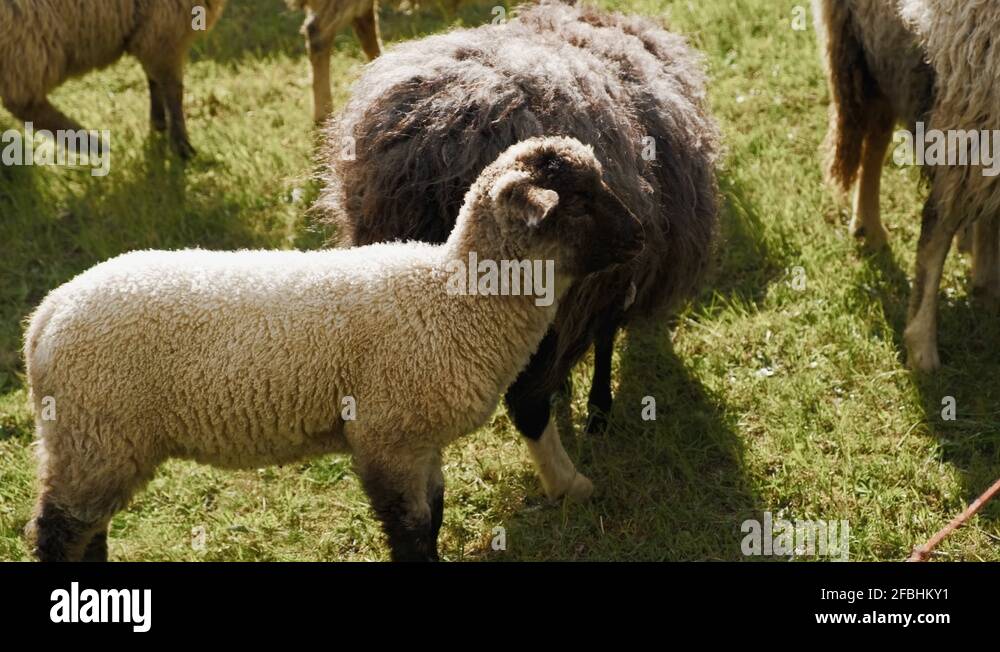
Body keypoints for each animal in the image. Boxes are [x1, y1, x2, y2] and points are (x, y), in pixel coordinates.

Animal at [0, 0, 227, 159]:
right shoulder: (164, 31)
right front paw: (182, 147)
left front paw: (159, 124)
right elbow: (172, 90)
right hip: (29, 37)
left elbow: (154, 81)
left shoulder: (152, 34)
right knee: (23, 102)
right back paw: (91, 143)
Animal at [24, 136, 644, 562]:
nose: (640, 237)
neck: (454, 301)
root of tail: (46, 316)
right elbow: (411, 533)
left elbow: (435, 514)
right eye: (579, 202)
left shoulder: (420, 440)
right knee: (57, 530)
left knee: (89, 531)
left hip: (94, 443)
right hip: (95, 437)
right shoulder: (386, 437)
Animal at [317, 0, 720, 482]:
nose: (639, 233)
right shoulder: (609, 281)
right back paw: (570, 482)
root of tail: (444, 140)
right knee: (526, 404)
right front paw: (598, 411)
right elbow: (604, 342)